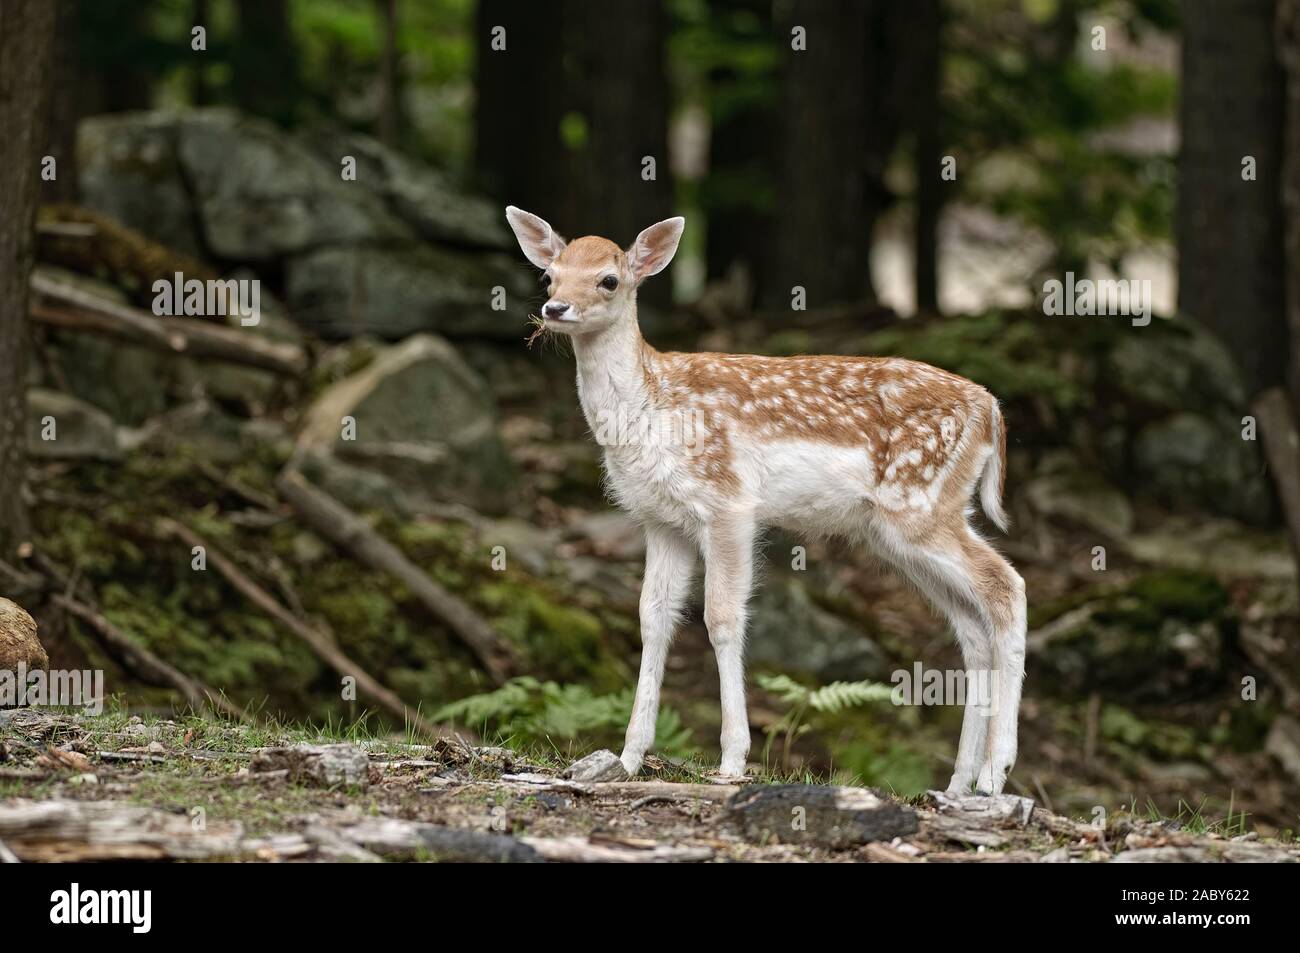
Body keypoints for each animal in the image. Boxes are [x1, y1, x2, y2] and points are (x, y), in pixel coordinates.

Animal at [505, 206, 1027, 795]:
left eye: (609, 280)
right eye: (550, 275)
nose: (555, 308)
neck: (651, 405)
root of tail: (993, 411)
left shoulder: (729, 503)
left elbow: (721, 618)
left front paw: (732, 761)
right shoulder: (660, 521)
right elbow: (652, 619)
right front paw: (628, 757)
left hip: (920, 504)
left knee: (1007, 585)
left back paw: (995, 774)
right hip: (903, 529)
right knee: (972, 626)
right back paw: (959, 783)